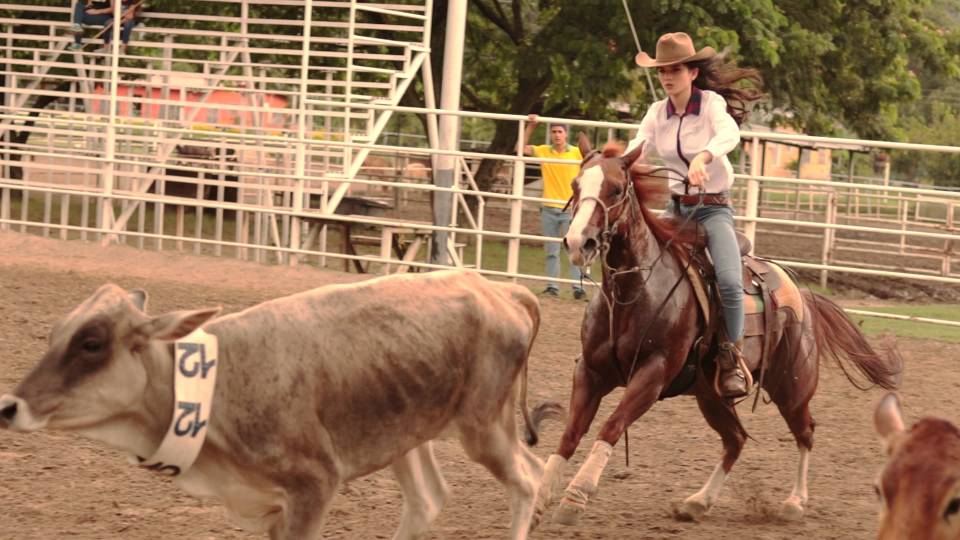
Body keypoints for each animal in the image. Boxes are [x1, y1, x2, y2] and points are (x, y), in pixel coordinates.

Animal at [530, 140, 902, 530]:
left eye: (616, 189)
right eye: (576, 185)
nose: (578, 242)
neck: (634, 291)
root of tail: (801, 296)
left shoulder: (653, 374)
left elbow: (612, 426)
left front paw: (576, 496)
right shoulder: (589, 371)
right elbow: (570, 432)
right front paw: (539, 499)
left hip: (792, 387)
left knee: (805, 432)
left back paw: (794, 502)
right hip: (711, 395)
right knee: (735, 440)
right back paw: (697, 502)